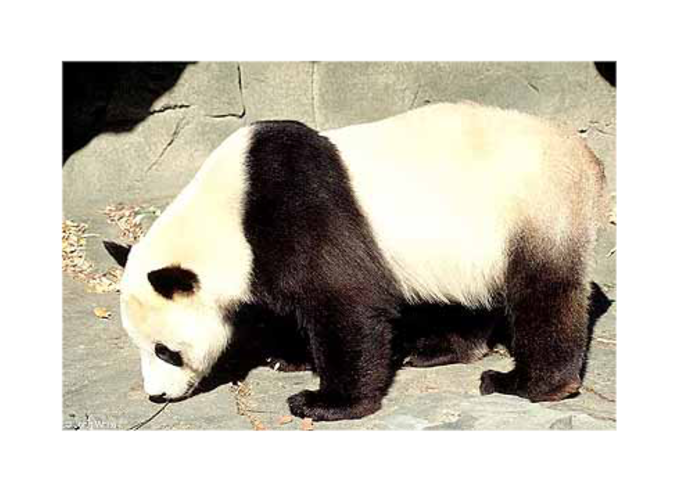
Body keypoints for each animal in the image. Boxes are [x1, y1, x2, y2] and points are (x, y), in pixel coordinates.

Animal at [104, 102, 608, 422]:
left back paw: (526, 383)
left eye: (165, 350)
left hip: (534, 207)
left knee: (545, 293)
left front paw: (322, 402)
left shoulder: (303, 212)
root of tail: (589, 160)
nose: (156, 394)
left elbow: (348, 303)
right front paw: (289, 356)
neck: (227, 215)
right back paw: (436, 349)